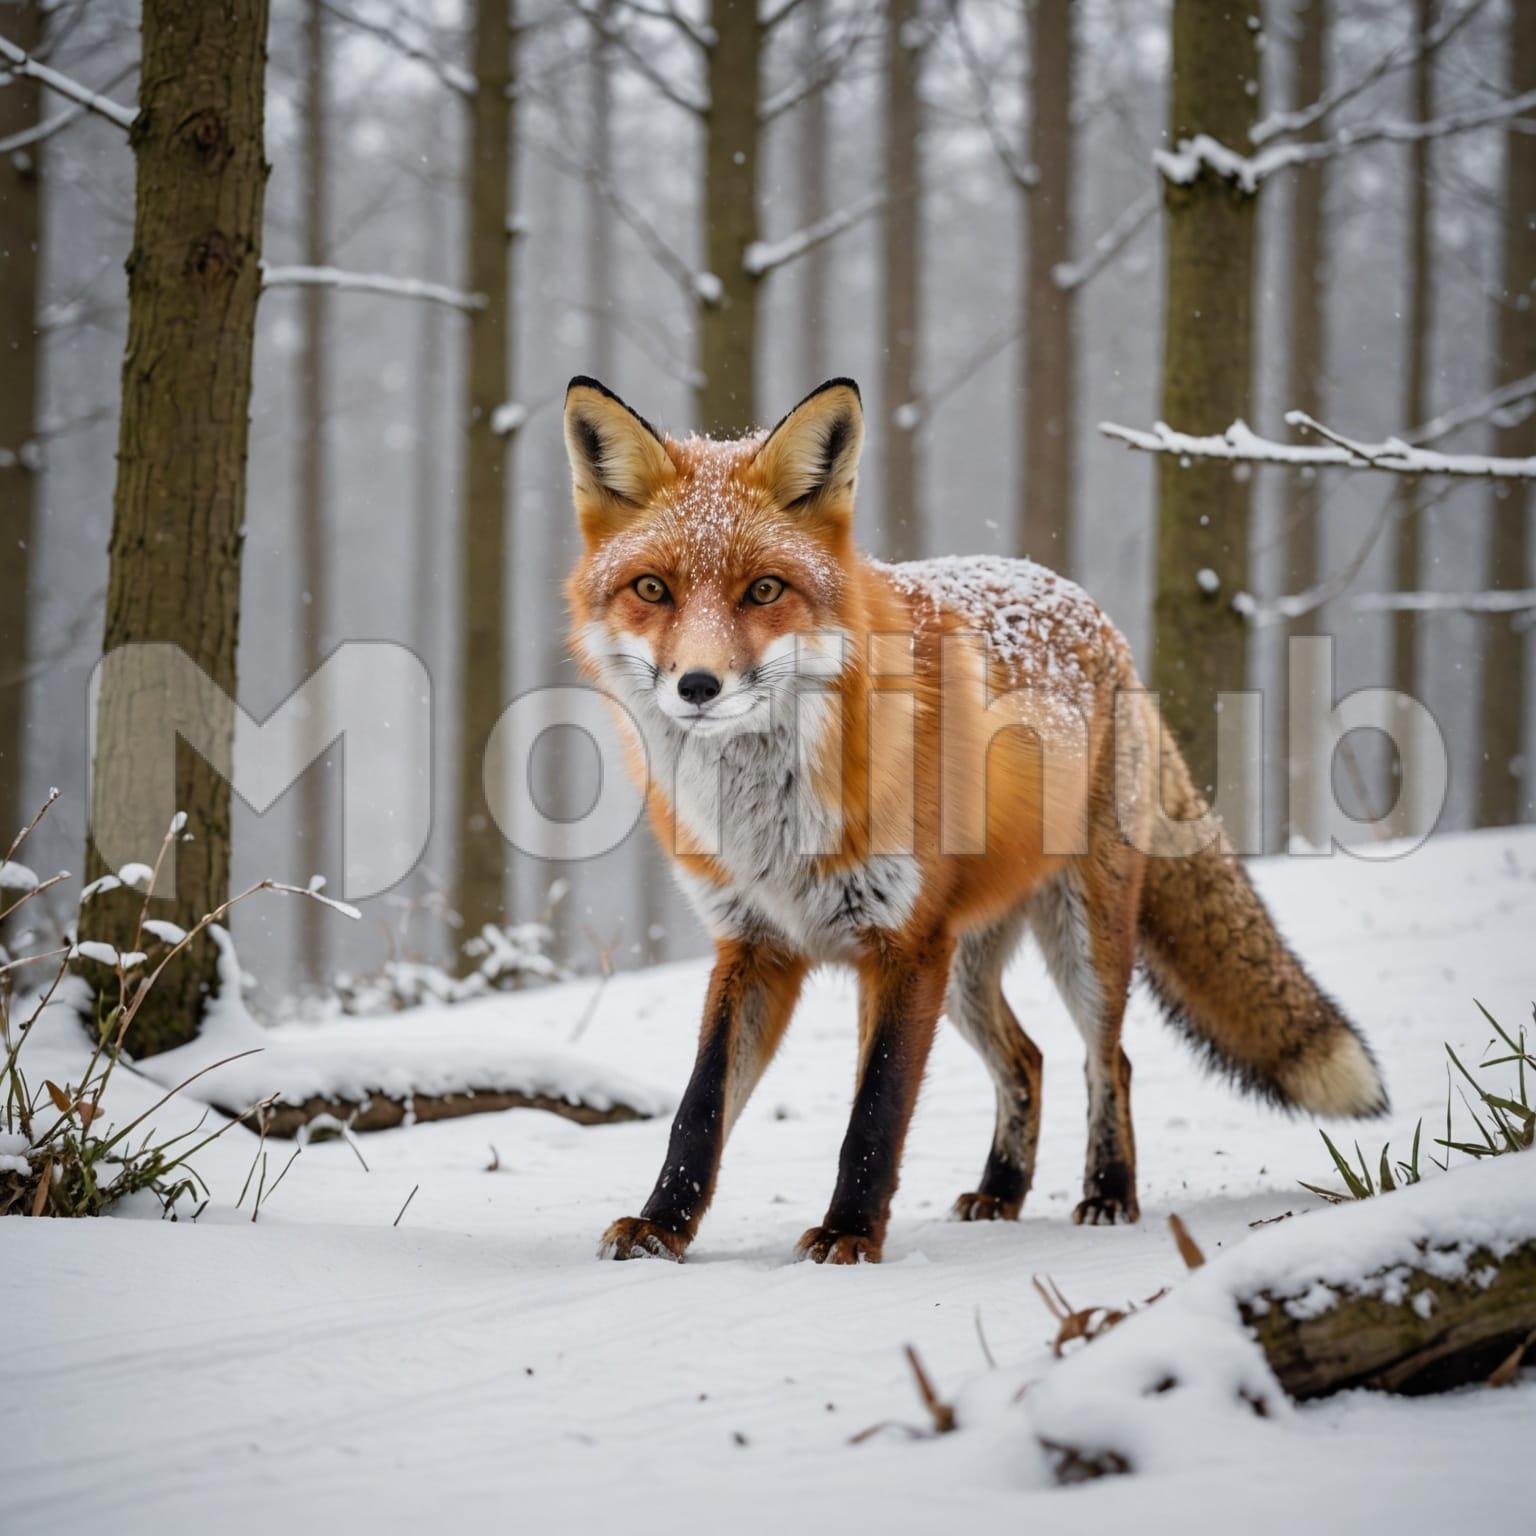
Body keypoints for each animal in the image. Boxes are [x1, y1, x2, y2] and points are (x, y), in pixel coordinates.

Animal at [563, 374, 1387, 1266]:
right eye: (653, 589)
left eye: (764, 590)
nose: (698, 686)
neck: (770, 819)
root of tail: (1094, 614)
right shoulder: (754, 944)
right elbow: (700, 1108)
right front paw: (662, 1226)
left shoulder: (902, 945)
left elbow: (875, 1114)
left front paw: (849, 1234)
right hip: (962, 969)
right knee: (1028, 1059)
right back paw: (1002, 1191)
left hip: (1079, 942)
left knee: (1109, 1060)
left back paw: (1108, 1193)